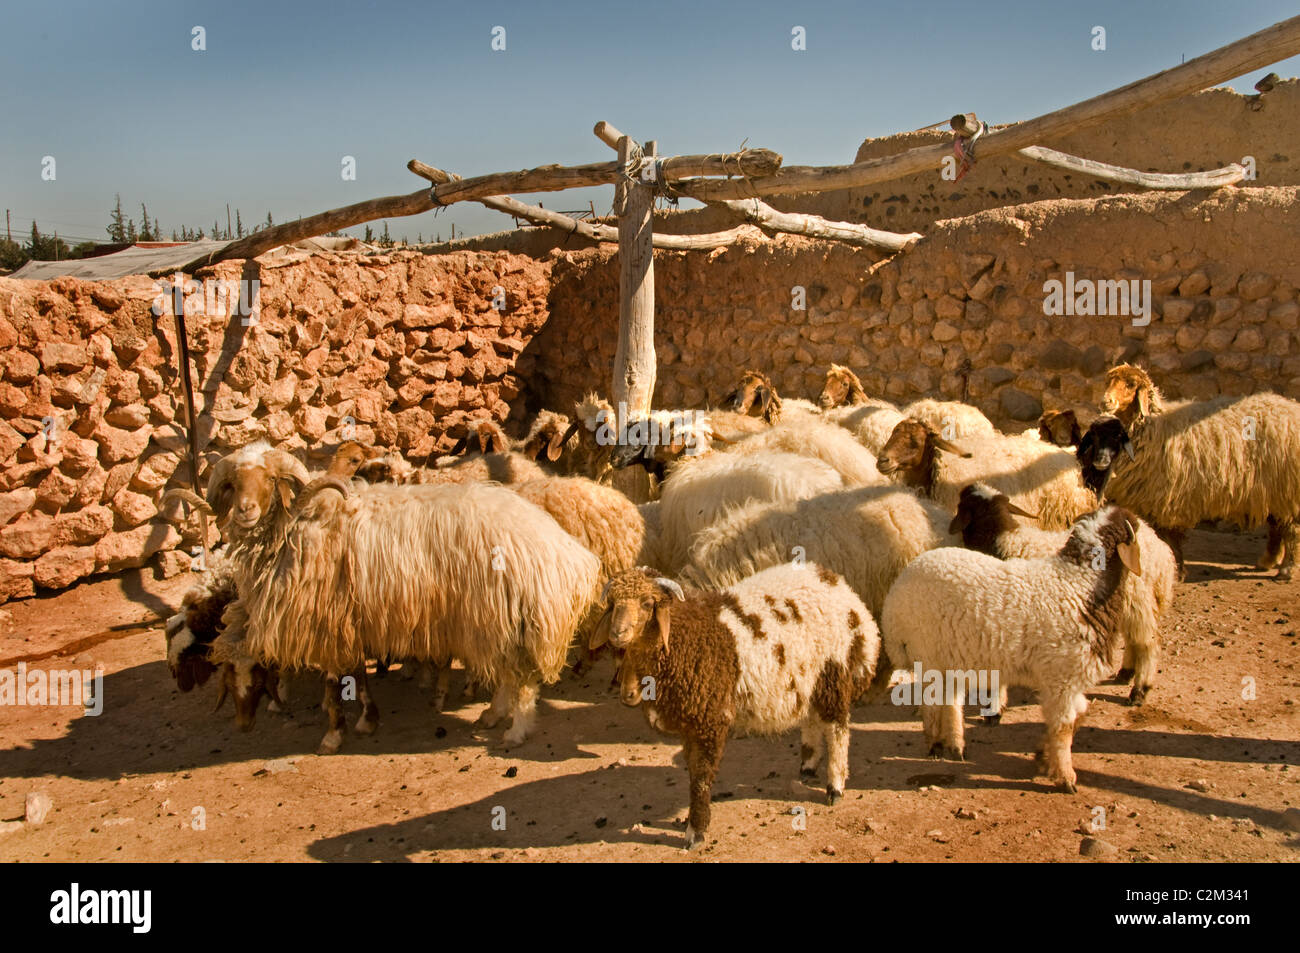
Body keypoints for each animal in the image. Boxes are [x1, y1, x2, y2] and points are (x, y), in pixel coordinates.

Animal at [202, 447, 601, 753]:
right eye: (233, 484)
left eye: (270, 479)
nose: (245, 511)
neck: (297, 528)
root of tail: (558, 549)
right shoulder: (351, 621)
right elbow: (357, 676)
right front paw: (366, 721)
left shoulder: (328, 624)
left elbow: (334, 685)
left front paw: (334, 735)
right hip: (490, 621)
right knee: (506, 673)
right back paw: (493, 714)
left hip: (502, 616)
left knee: (521, 678)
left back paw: (516, 730)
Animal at [590, 564, 879, 848]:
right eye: (613, 603)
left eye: (648, 603)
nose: (617, 634)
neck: (686, 636)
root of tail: (839, 586)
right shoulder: (691, 724)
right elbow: (693, 772)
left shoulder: (709, 721)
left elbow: (701, 778)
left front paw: (695, 832)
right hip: (808, 677)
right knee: (811, 717)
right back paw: (808, 764)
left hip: (834, 671)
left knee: (837, 729)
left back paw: (835, 786)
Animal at [879, 504, 1147, 792]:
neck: (1079, 585)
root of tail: (897, 590)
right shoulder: (1061, 679)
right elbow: (1063, 728)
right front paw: (1065, 777)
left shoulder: (1068, 678)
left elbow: (1079, 714)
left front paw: (1043, 756)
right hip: (927, 652)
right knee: (932, 700)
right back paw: (936, 745)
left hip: (951, 655)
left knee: (951, 699)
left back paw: (956, 747)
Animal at [949, 483, 1177, 705]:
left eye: (962, 504)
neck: (1005, 539)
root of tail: (1160, 551)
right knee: (1133, 639)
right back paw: (1126, 672)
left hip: (1137, 600)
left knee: (1148, 643)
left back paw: (1140, 690)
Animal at [1094, 363, 1300, 579]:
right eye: (1108, 381)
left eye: (1131, 384)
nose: (1105, 402)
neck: (1152, 426)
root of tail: (1293, 408)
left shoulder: (1167, 500)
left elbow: (1170, 539)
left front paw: (1177, 570)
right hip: (1275, 489)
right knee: (1277, 526)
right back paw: (1267, 561)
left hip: (1287, 488)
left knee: (1291, 530)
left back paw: (1286, 569)